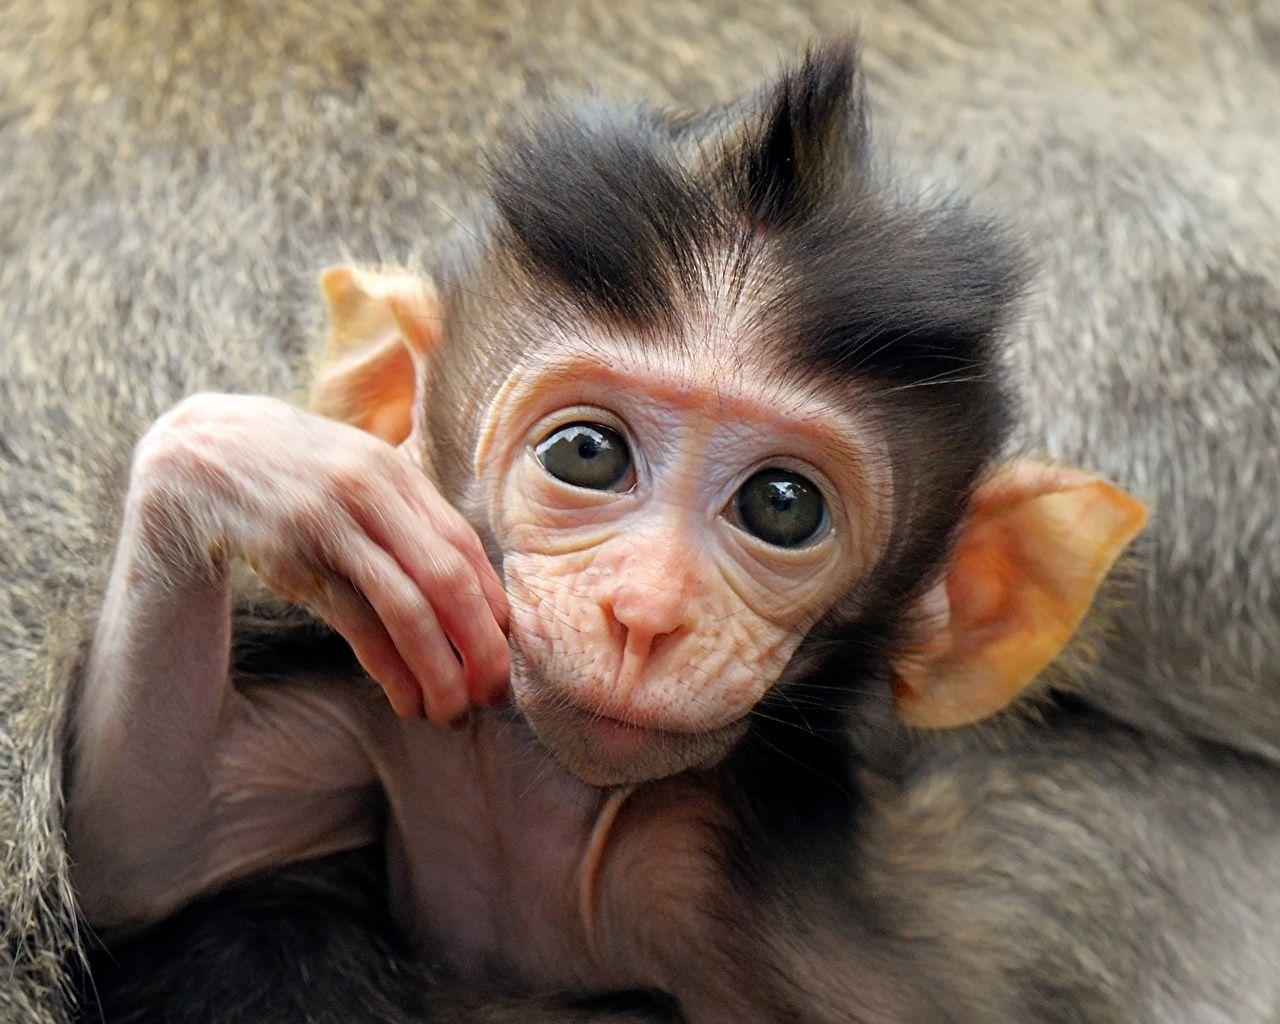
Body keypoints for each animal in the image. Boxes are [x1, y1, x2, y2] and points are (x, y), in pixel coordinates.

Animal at [3, 2, 1280, 1023]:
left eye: (780, 507)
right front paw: (280, 477)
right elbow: (144, 841)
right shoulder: (390, 725)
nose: (646, 611)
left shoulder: (734, 888)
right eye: (587, 453)